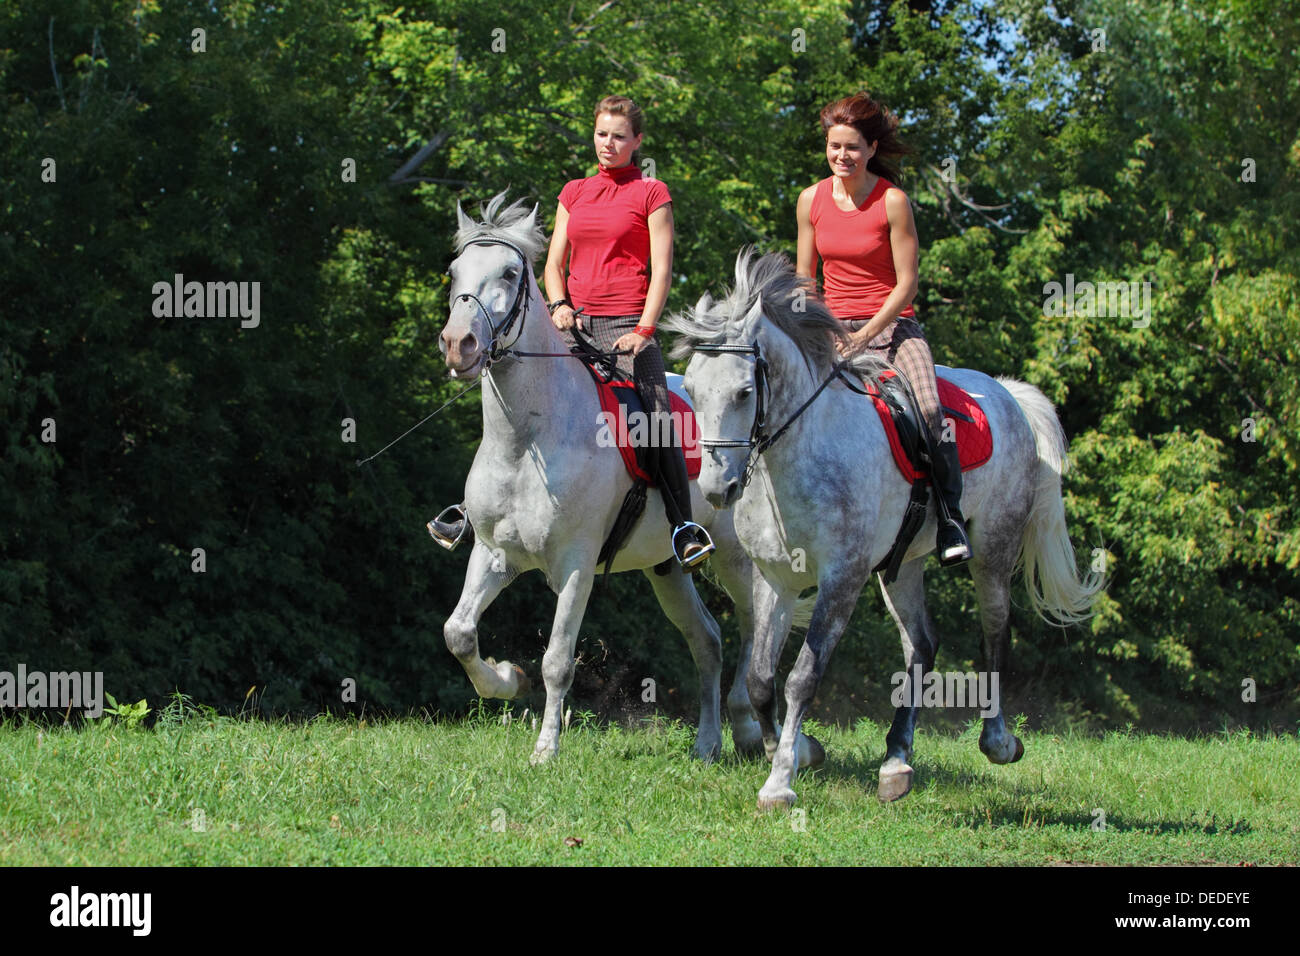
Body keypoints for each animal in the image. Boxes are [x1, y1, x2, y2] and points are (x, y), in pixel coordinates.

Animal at [435, 194, 797, 765]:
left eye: (511, 273)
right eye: (454, 272)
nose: (459, 345)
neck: (528, 439)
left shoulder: (576, 565)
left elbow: (558, 661)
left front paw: (545, 751)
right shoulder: (494, 554)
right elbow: (459, 633)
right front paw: (506, 679)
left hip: (739, 559)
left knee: (752, 624)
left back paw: (749, 728)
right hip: (667, 570)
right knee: (708, 640)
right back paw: (708, 744)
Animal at [667, 250, 1104, 808]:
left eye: (745, 392)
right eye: (692, 390)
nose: (717, 488)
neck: (800, 453)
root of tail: (1007, 393)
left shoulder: (842, 579)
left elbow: (802, 678)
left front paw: (780, 781)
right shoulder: (776, 579)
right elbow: (762, 678)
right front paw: (798, 751)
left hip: (993, 549)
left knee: (995, 633)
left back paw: (999, 741)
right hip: (902, 563)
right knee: (921, 644)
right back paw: (896, 760)